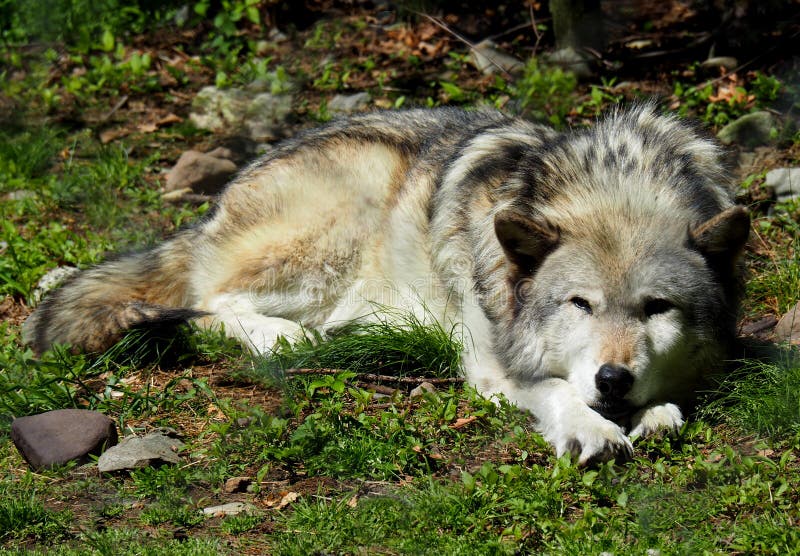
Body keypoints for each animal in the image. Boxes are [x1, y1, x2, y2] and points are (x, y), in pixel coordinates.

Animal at [23, 105, 749, 464]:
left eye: (657, 308)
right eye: (579, 304)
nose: (613, 379)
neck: (615, 185)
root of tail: (214, 205)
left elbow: (673, 400)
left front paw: (654, 413)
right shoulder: (496, 365)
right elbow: (556, 390)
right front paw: (592, 429)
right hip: (336, 225)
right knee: (206, 300)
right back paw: (281, 339)